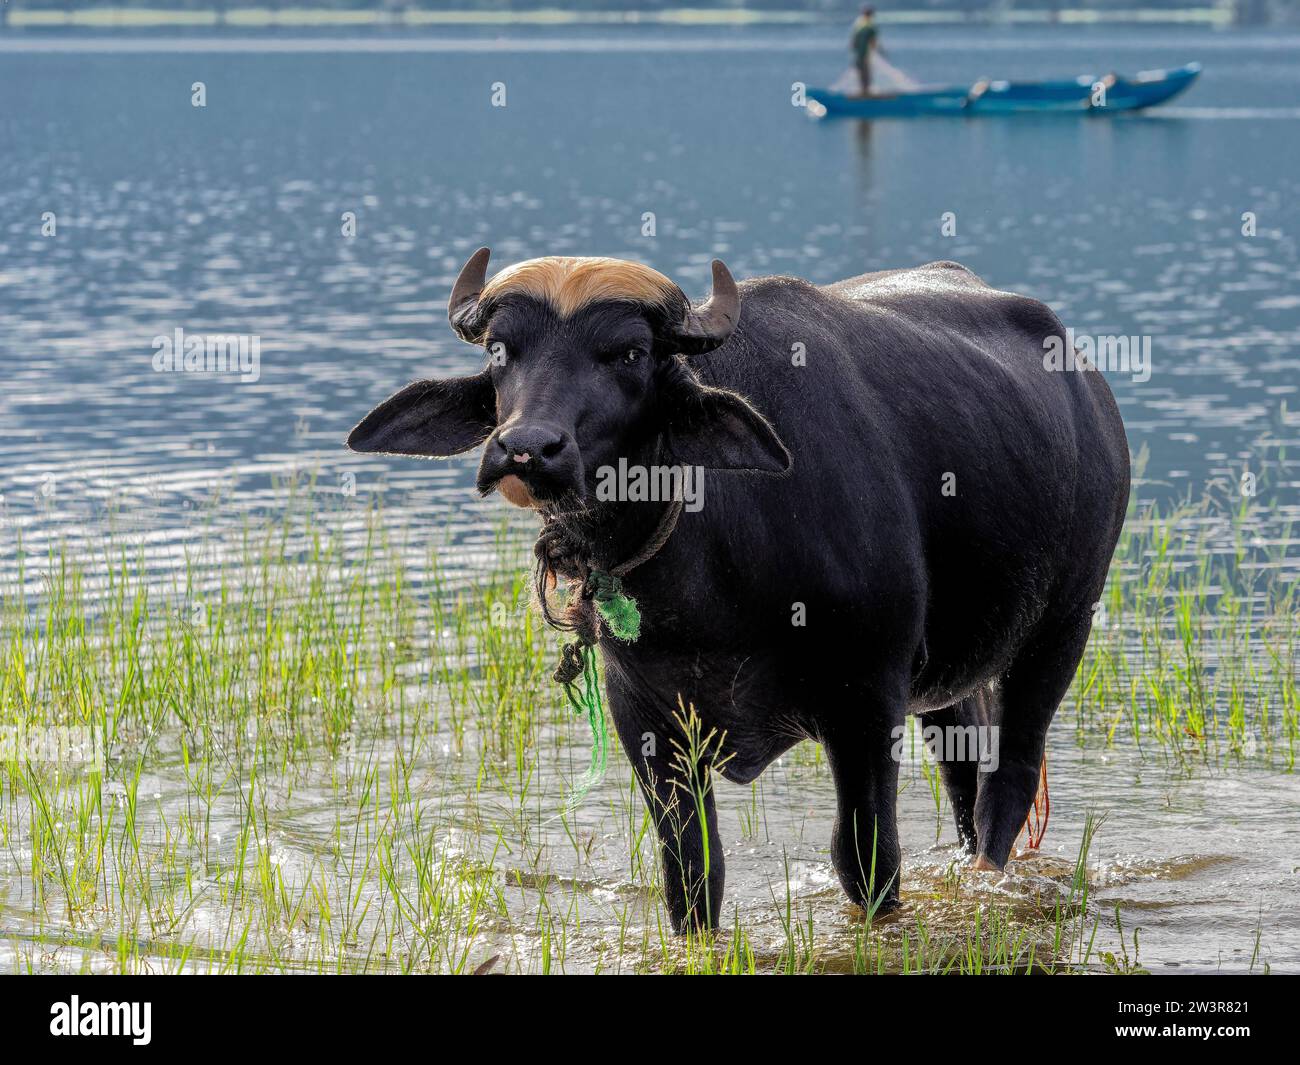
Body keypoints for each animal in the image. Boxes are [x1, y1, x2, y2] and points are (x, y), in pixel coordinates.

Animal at [348, 248, 1130, 932]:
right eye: (499, 351)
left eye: (629, 353)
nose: (526, 449)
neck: (708, 584)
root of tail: (1091, 393)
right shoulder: (645, 719)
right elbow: (693, 874)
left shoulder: (866, 703)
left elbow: (867, 863)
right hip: (945, 679)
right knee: (966, 770)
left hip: (1062, 628)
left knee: (1008, 781)